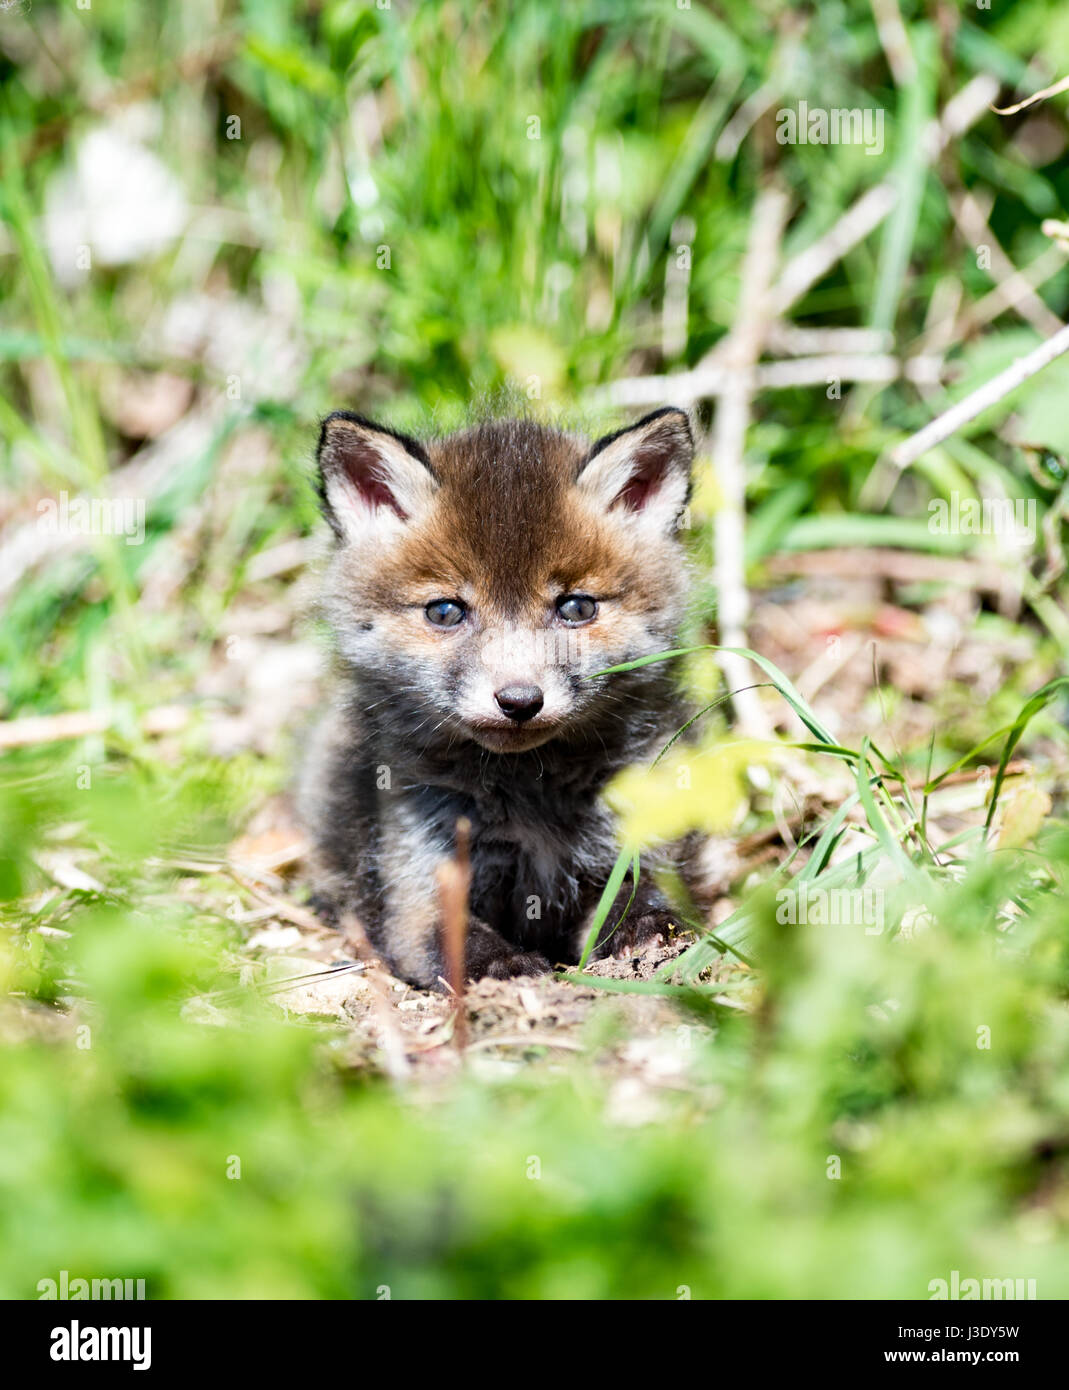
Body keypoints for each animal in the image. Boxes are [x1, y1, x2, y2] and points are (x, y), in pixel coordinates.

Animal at [299, 405, 696, 988]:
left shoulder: (645, 841)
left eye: (577, 607)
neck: (531, 792)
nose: (519, 701)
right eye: (445, 611)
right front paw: (509, 967)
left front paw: (643, 934)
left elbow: (643, 897)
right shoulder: (418, 889)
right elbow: (459, 941)